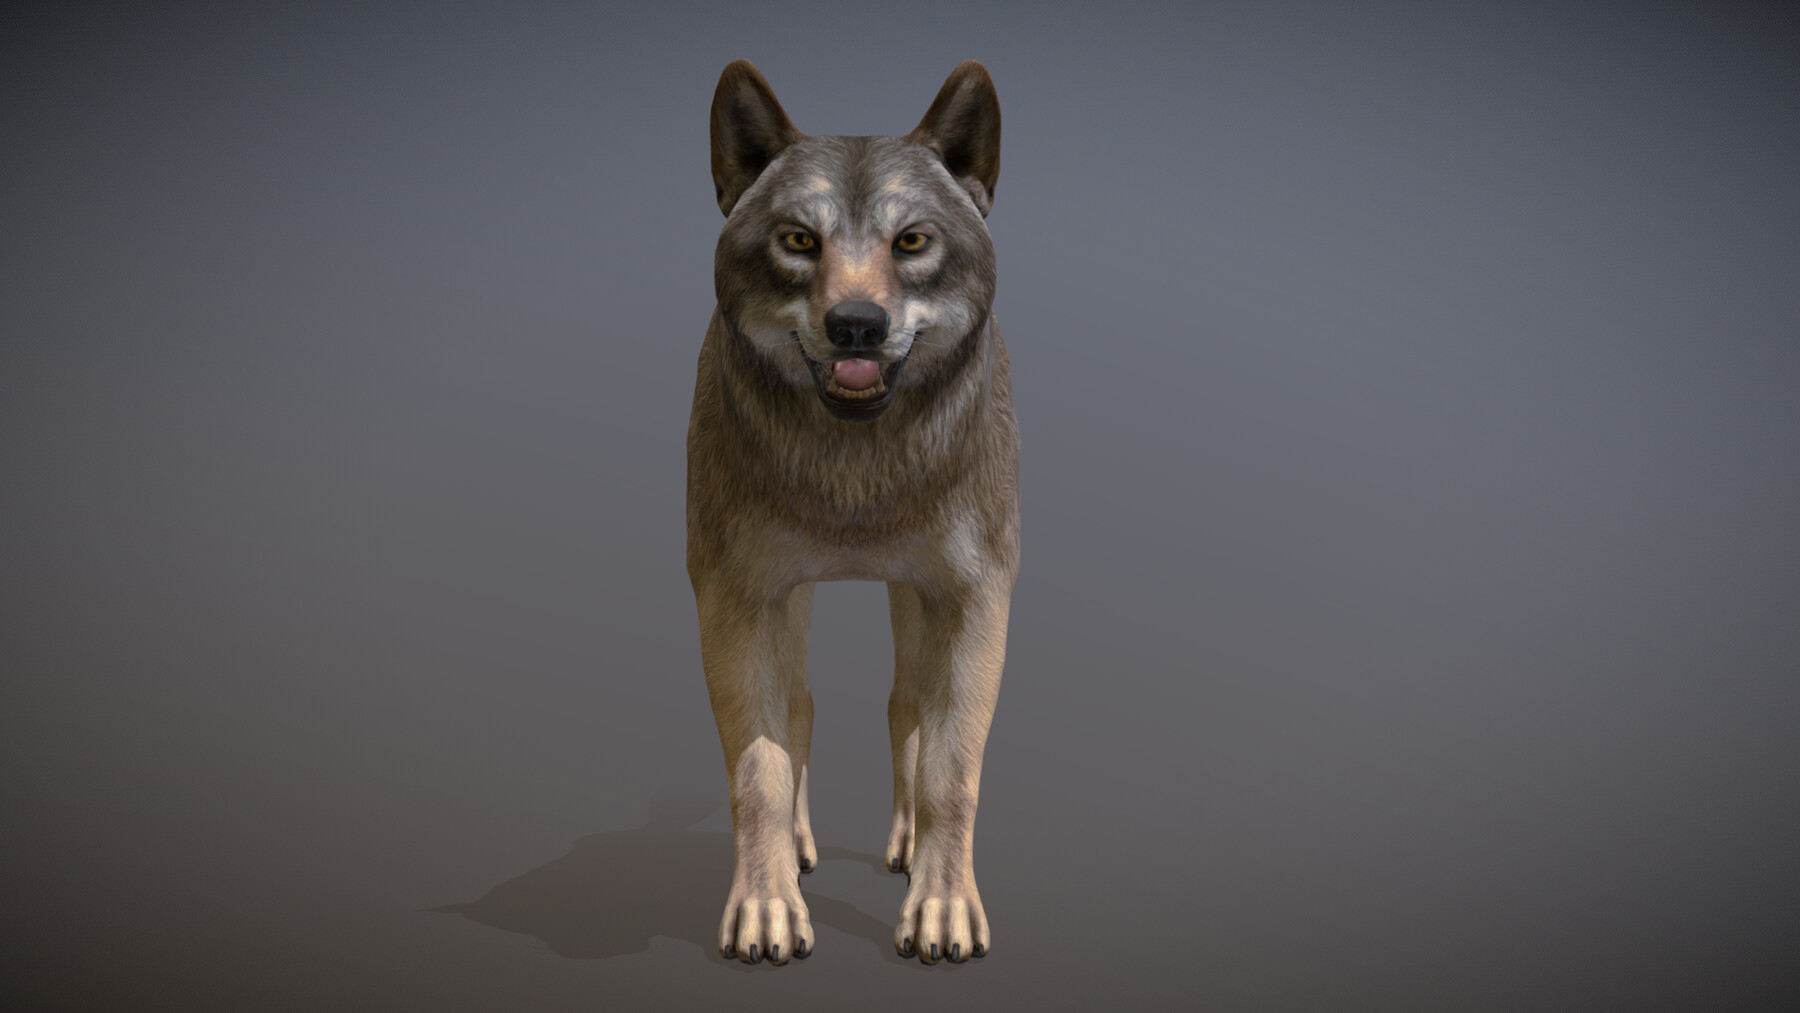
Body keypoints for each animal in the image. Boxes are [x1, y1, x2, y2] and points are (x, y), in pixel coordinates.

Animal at [687, 59, 1017, 967]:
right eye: (800, 240)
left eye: (911, 241)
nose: (857, 326)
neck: (857, 473)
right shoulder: (737, 600)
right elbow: (760, 769)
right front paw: (767, 907)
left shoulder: (973, 599)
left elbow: (951, 768)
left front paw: (943, 907)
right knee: (801, 708)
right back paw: (800, 852)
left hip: (913, 597)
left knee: (905, 705)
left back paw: (905, 848)